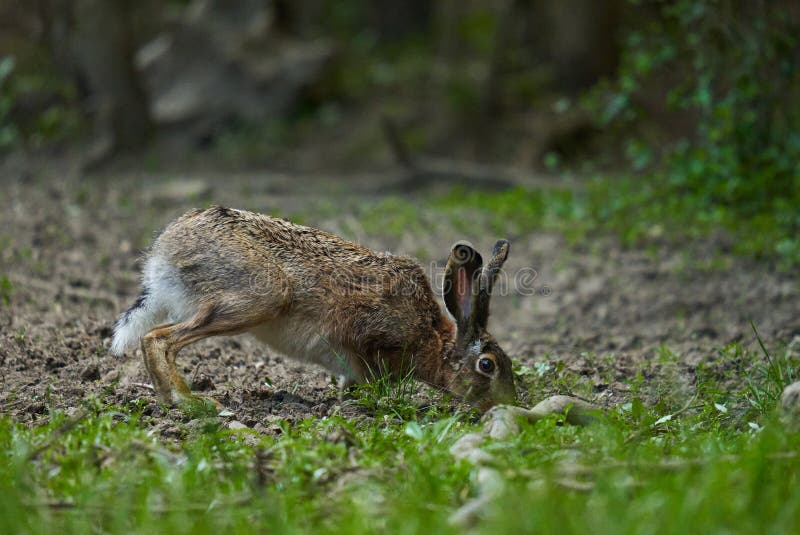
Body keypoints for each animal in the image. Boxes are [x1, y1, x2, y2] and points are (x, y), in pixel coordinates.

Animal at [111, 206, 516, 411]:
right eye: (487, 365)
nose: (509, 402)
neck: (430, 337)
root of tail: (164, 250)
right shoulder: (364, 336)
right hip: (254, 300)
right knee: (157, 339)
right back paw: (190, 400)